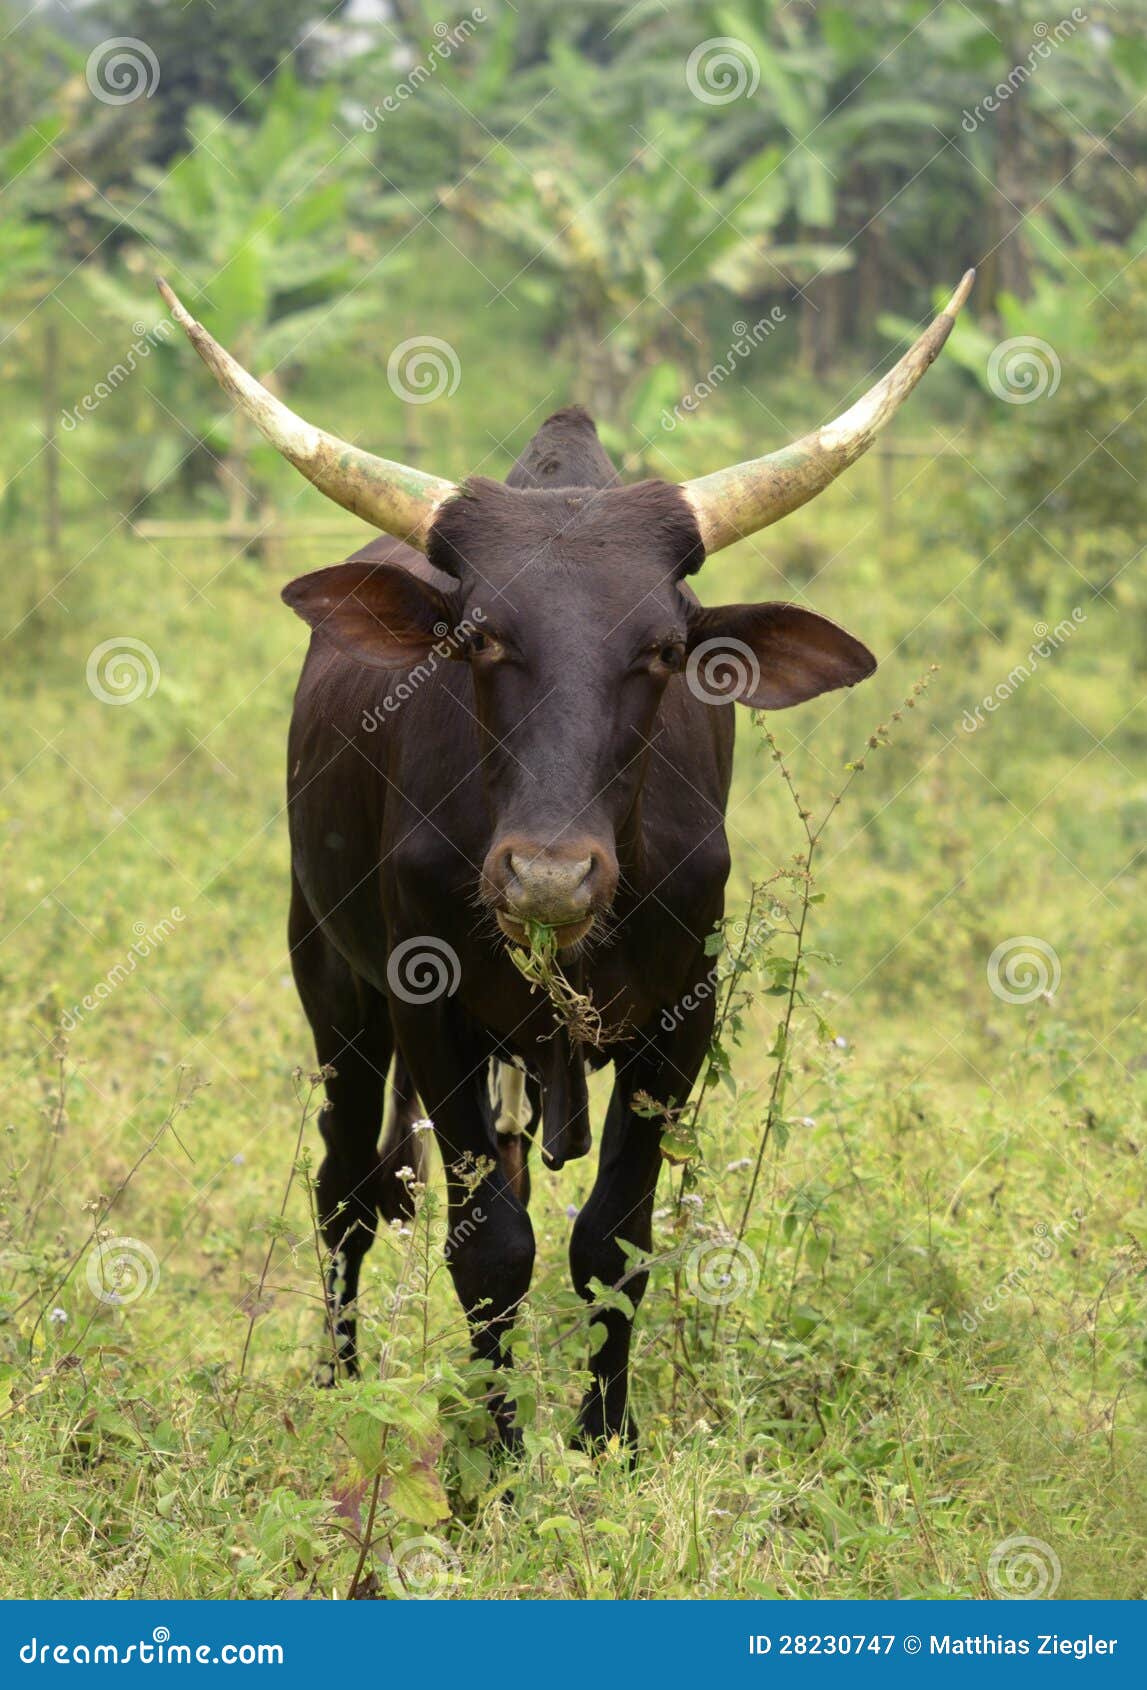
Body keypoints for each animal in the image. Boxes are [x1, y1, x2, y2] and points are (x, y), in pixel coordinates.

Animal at [159, 272, 972, 1454]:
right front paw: (493, 1458)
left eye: (666, 652)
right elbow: (491, 1249)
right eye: (478, 638)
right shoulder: (429, 1009)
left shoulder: (683, 1017)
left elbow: (612, 1242)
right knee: (342, 1188)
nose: (546, 881)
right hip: (331, 983)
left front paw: (603, 1444)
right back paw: (337, 1386)